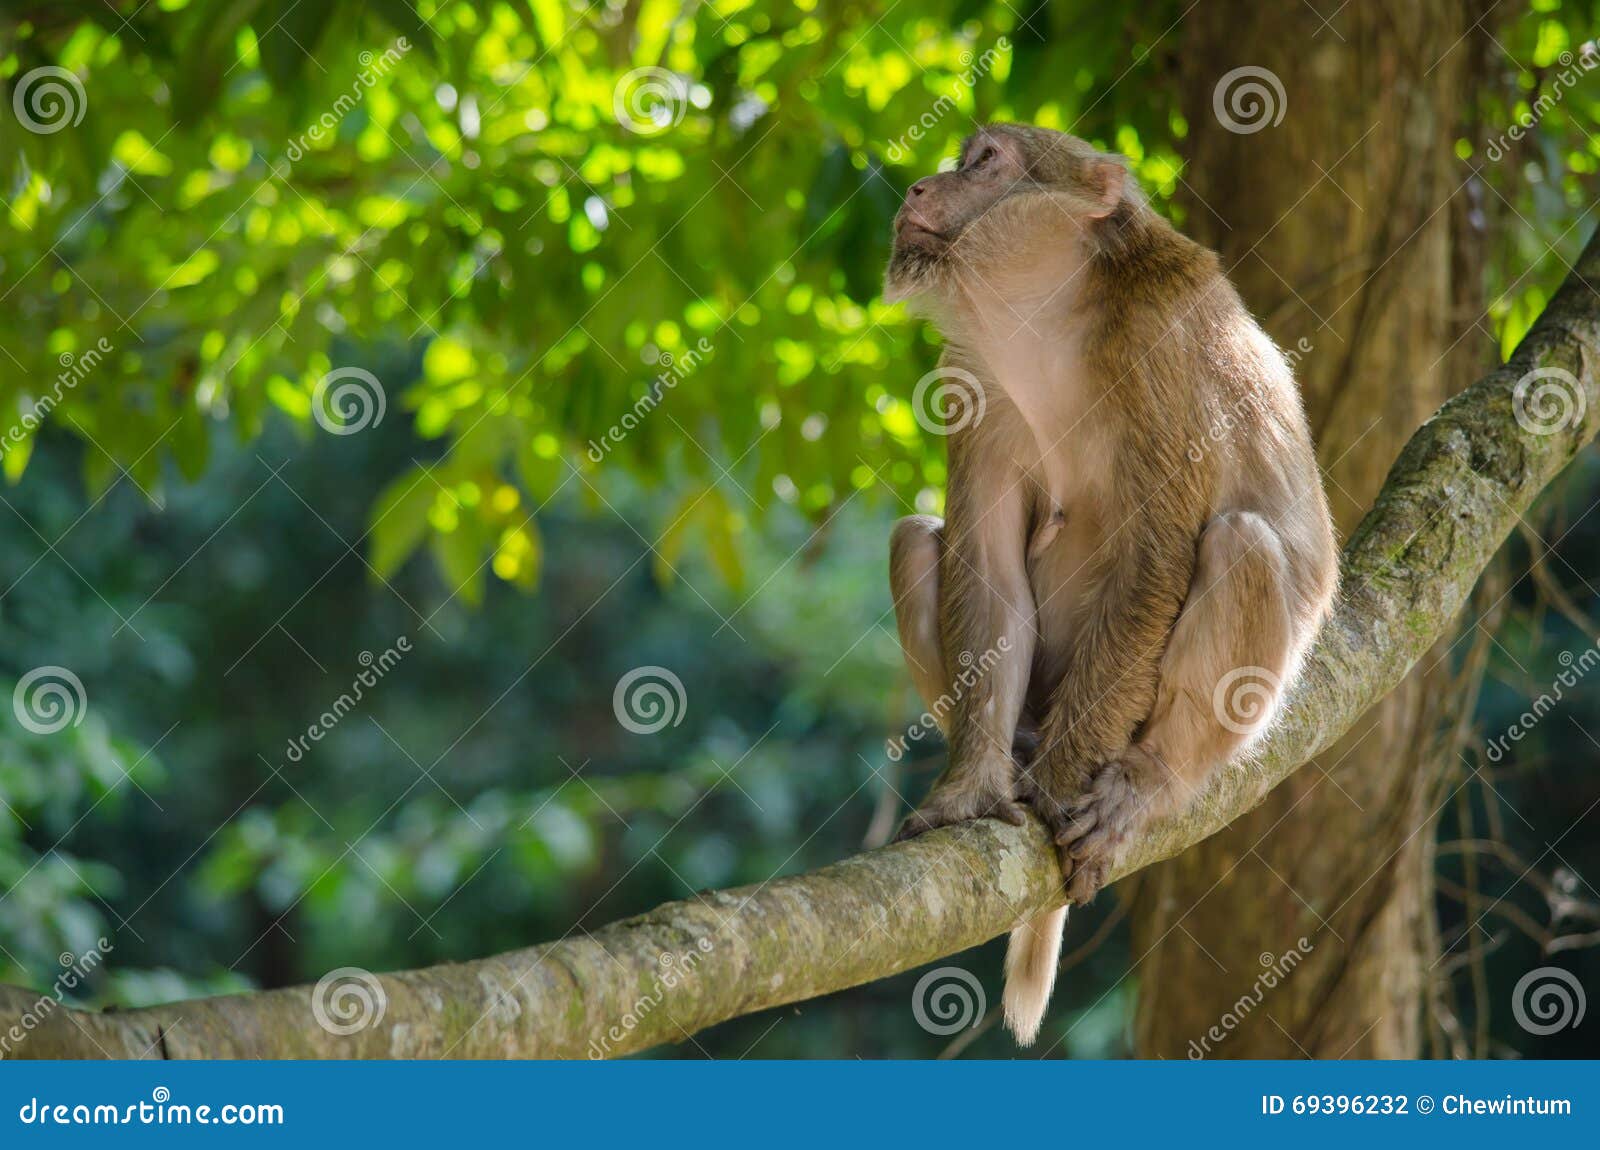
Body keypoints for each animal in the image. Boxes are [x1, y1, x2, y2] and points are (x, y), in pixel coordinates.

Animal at [883, 124, 1339, 1046]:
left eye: (983, 160)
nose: (916, 187)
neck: (1054, 324)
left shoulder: (1159, 348)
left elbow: (1155, 564)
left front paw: (1061, 786)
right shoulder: (976, 379)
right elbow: (987, 575)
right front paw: (970, 789)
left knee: (1241, 545)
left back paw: (1150, 778)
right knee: (916, 543)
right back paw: (1022, 745)